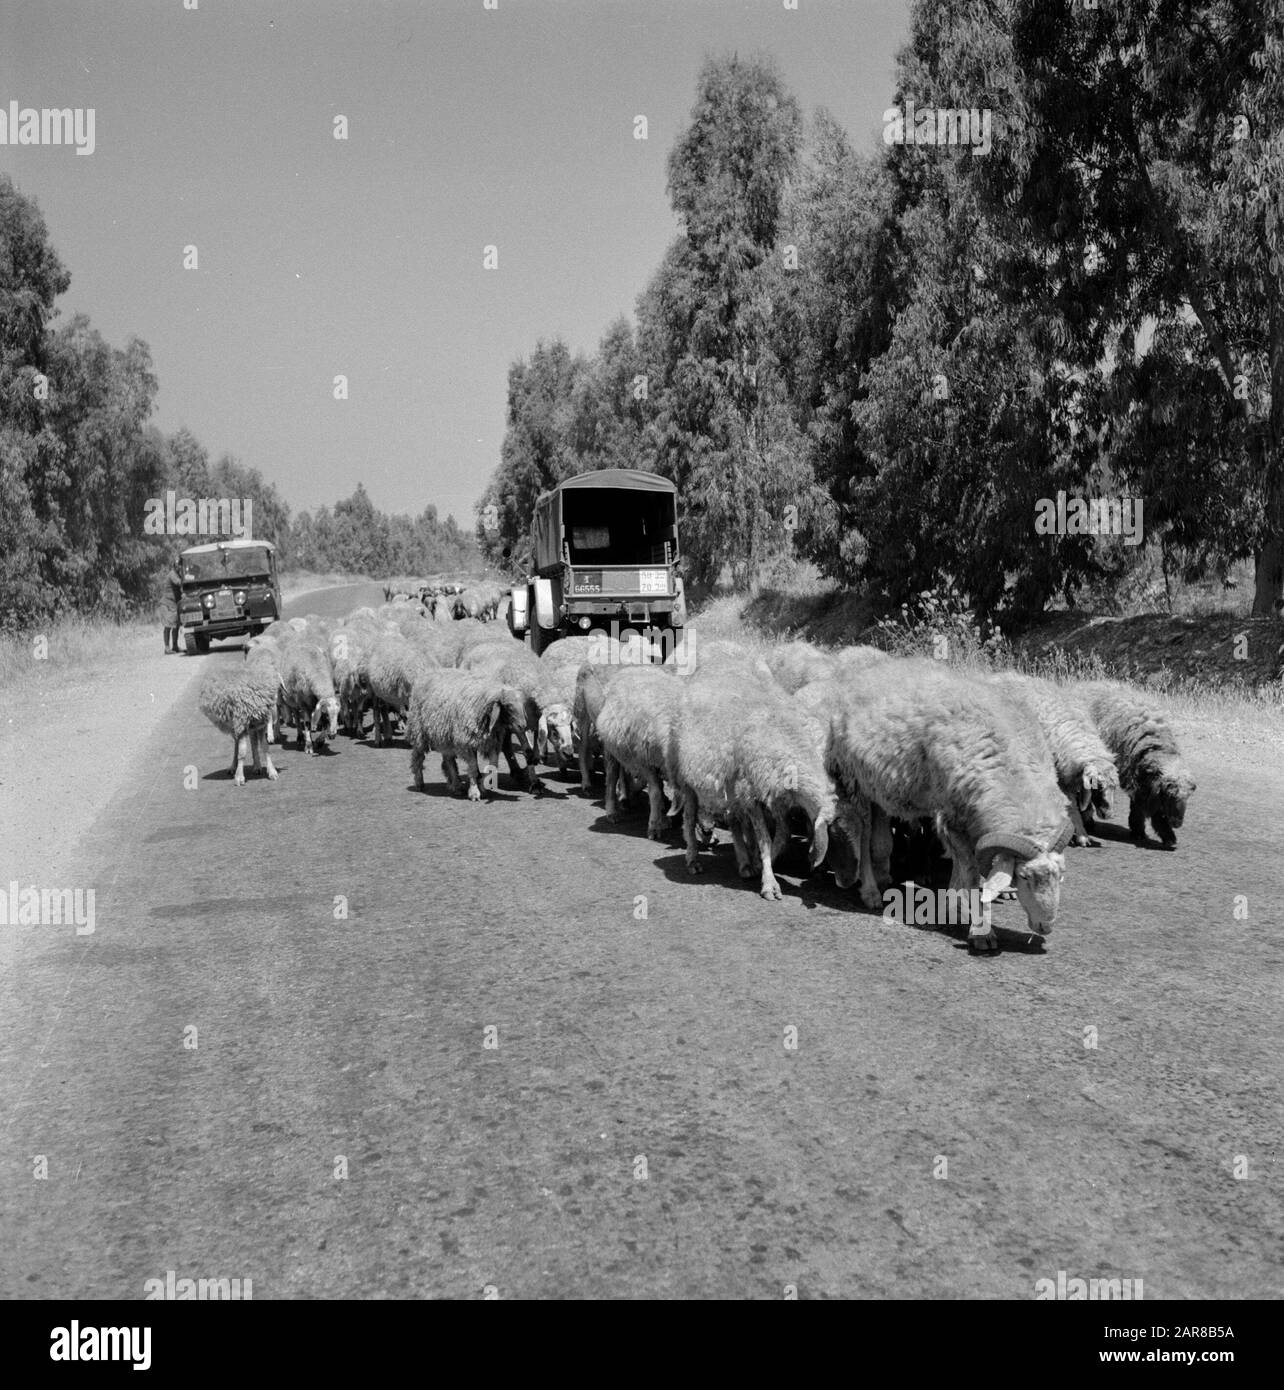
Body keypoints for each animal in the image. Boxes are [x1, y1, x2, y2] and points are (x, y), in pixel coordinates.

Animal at [198, 647, 281, 785]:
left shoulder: (260, 723)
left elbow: (265, 747)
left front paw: (272, 772)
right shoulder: (241, 722)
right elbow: (242, 752)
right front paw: (239, 776)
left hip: (250, 723)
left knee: (252, 743)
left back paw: (257, 766)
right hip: (236, 723)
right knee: (237, 745)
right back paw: (234, 766)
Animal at [406, 668, 529, 801]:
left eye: (522, 705)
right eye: (508, 706)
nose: (523, 726)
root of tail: (427, 673)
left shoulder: (492, 743)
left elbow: (493, 766)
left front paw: (482, 786)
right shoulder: (466, 743)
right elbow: (473, 768)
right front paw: (474, 792)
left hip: (446, 735)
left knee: (448, 759)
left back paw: (456, 785)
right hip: (419, 732)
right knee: (418, 756)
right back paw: (419, 782)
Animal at [802, 659, 1072, 949]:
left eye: (1061, 875)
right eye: (1023, 876)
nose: (1046, 927)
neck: (1010, 773)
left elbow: (961, 872)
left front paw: (951, 907)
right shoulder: (952, 816)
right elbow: (970, 874)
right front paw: (981, 931)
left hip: (877, 783)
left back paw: (883, 873)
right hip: (854, 779)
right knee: (863, 834)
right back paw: (871, 890)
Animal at [987, 671, 1120, 847]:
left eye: (1114, 787)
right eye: (1097, 786)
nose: (1109, 815)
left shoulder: (1068, 776)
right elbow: (1071, 807)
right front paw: (1081, 835)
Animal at [1083, 682, 1196, 848]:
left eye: (1187, 797)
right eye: (1170, 795)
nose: (1177, 823)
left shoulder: (1145, 782)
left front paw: (1166, 834)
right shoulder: (1137, 779)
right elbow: (1142, 807)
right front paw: (1142, 831)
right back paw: (1088, 822)